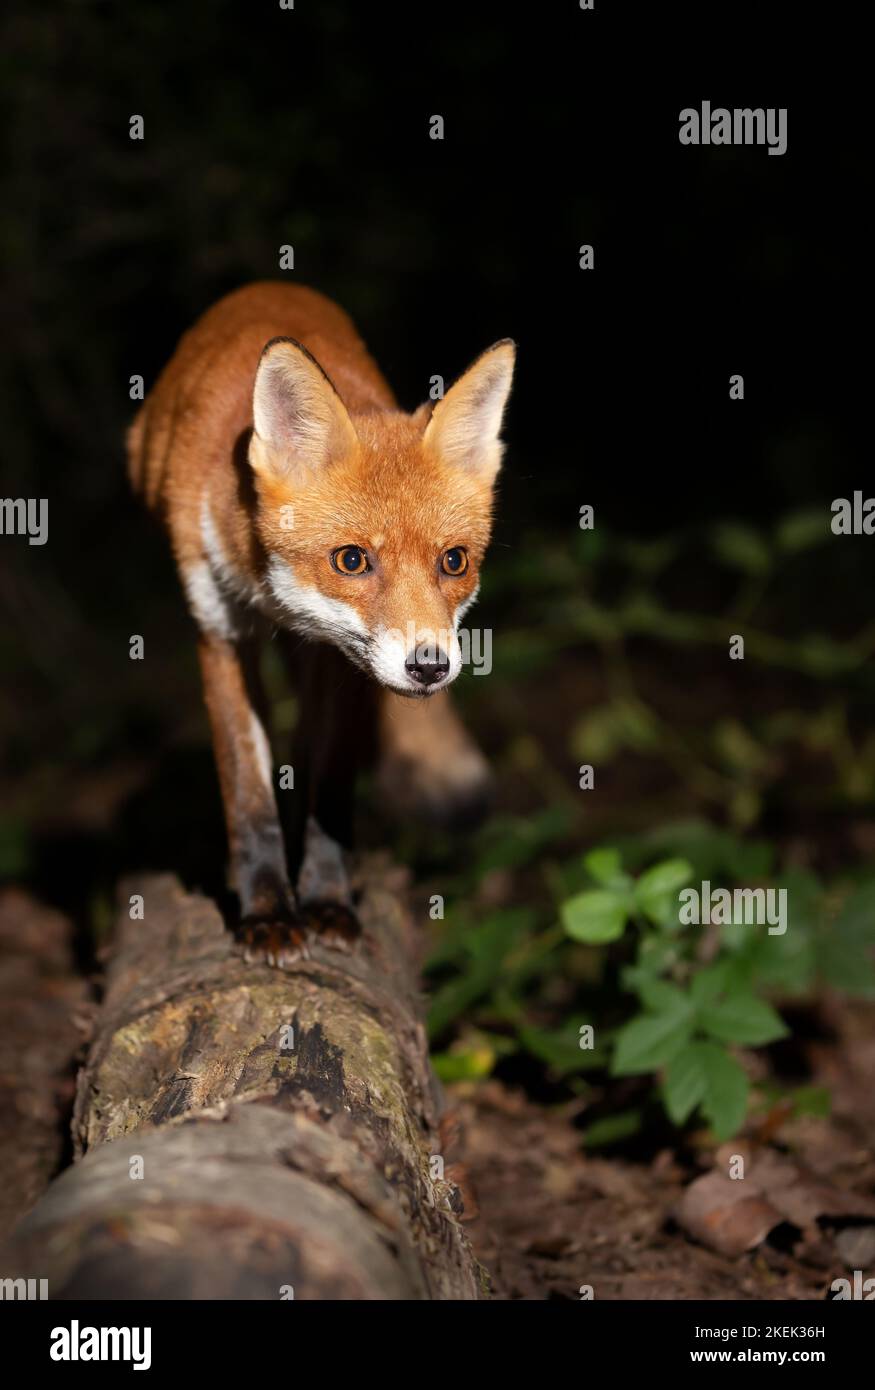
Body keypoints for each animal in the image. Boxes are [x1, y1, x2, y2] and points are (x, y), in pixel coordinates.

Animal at [128, 282, 515, 966]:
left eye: (454, 561)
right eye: (351, 560)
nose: (430, 666)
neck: (273, 596)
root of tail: (268, 286)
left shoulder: (341, 659)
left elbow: (330, 788)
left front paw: (329, 904)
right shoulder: (220, 634)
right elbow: (248, 795)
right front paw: (267, 914)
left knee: (307, 756)